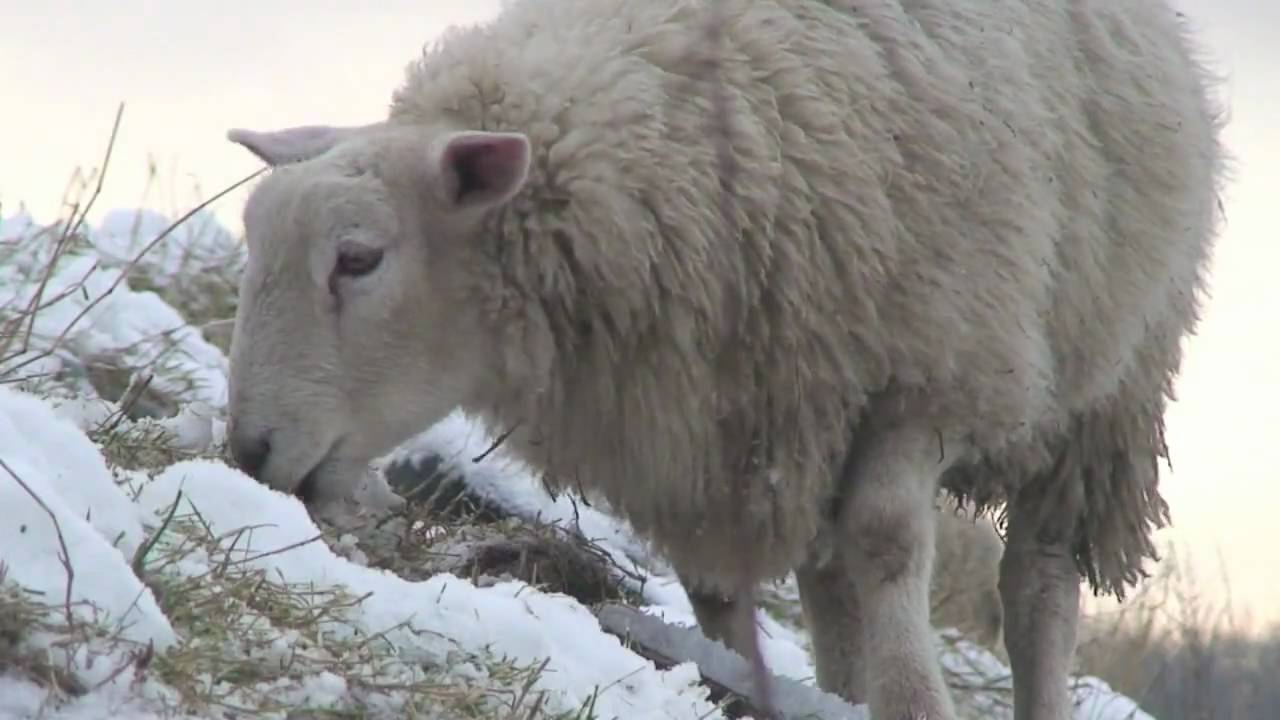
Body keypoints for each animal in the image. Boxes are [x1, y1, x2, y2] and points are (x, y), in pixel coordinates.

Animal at [221, 0, 1228, 717]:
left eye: (358, 259)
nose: (248, 454)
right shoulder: (689, 429)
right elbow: (719, 591)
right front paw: (753, 687)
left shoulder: (935, 370)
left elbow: (886, 538)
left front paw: (914, 702)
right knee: (829, 580)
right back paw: (842, 691)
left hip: (1109, 388)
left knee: (1038, 586)